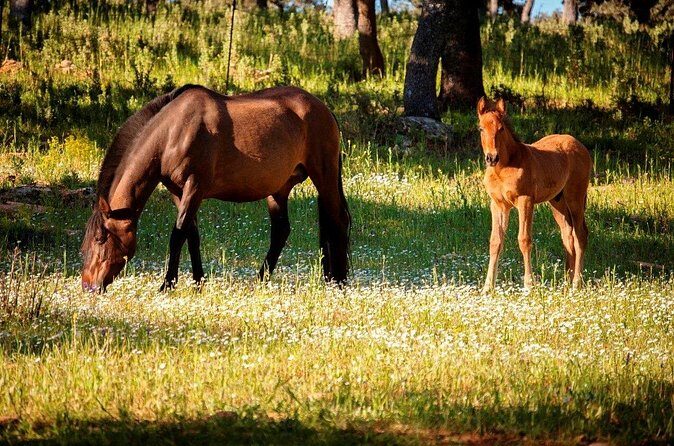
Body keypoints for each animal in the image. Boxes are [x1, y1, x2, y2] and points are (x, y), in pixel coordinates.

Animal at [81, 85, 351, 292]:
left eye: (101, 238)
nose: (88, 286)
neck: (173, 132)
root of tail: (324, 109)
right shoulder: (178, 193)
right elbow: (192, 235)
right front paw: (198, 282)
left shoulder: (195, 187)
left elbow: (177, 235)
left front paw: (167, 285)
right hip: (279, 189)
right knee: (281, 231)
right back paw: (261, 280)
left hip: (324, 176)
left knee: (337, 220)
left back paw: (339, 282)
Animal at [477, 97, 592, 291]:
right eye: (481, 128)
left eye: (501, 129)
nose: (492, 158)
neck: (504, 167)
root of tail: (580, 145)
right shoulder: (498, 204)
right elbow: (495, 241)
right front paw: (487, 287)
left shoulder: (525, 201)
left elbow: (524, 240)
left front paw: (529, 285)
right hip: (557, 202)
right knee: (567, 234)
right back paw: (566, 281)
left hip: (575, 197)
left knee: (580, 234)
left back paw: (576, 282)